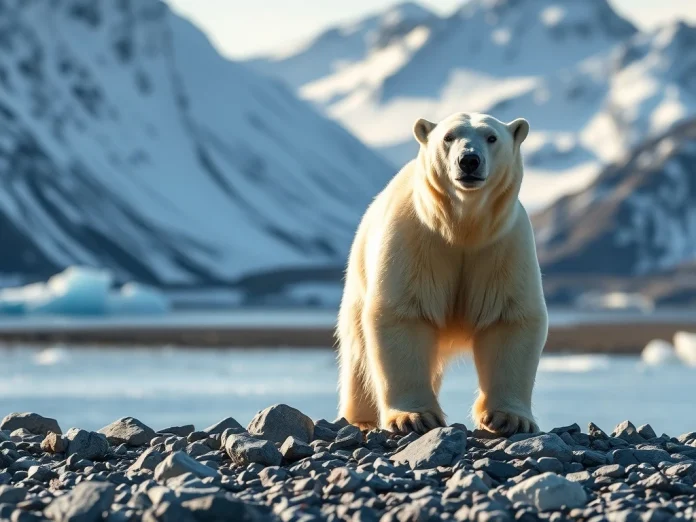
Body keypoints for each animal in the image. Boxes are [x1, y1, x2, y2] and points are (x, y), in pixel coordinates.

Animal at [336, 111, 547, 436]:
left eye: (491, 137)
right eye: (449, 136)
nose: (469, 160)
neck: (461, 228)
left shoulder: (503, 247)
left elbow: (509, 318)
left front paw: (509, 418)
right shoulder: (416, 240)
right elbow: (404, 315)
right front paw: (414, 417)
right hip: (358, 283)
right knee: (358, 356)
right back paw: (360, 418)